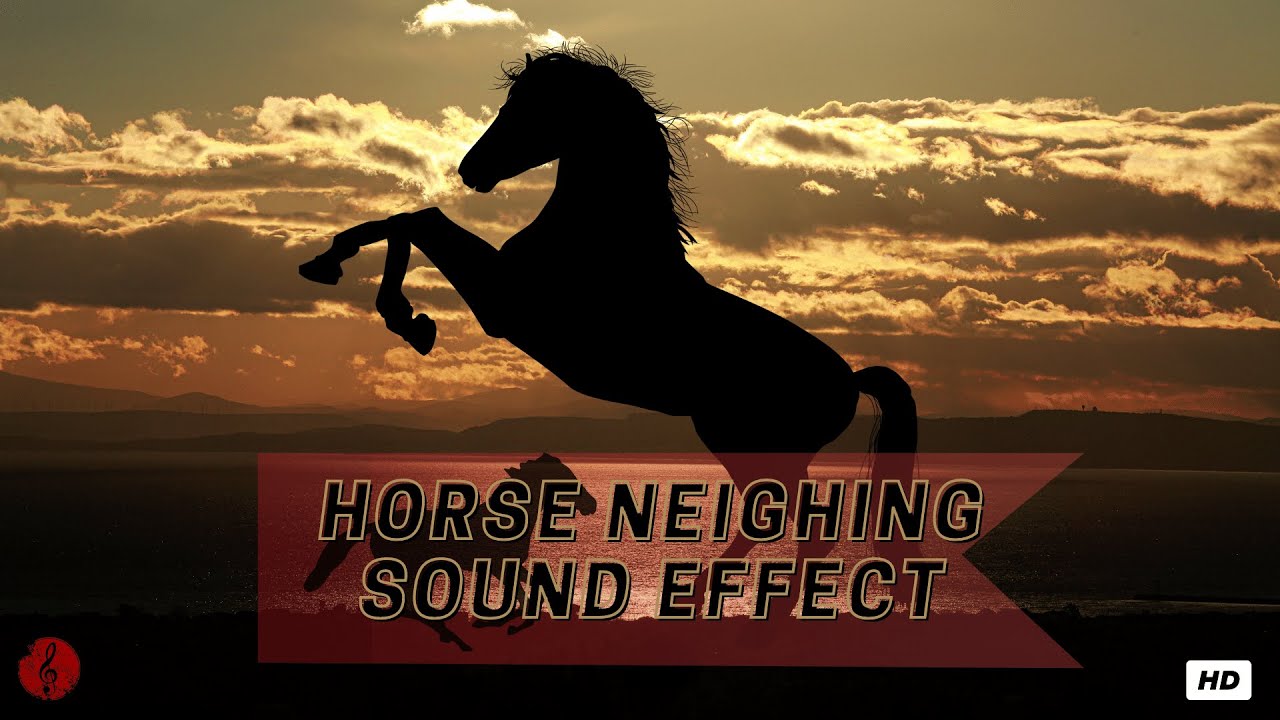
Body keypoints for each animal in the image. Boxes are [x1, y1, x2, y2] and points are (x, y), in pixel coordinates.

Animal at [299, 45, 917, 614]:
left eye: (532, 106)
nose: (471, 170)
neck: (602, 239)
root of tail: (850, 379)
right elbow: (406, 220)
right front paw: (338, 270)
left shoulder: (503, 303)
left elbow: (417, 221)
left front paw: (401, 315)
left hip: (754, 447)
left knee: (800, 529)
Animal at [303, 453, 599, 650]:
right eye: (563, 475)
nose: (591, 504)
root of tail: (374, 525)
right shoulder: (498, 566)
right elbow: (520, 601)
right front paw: (492, 623)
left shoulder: (510, 566)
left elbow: (525, 599)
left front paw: (501, 624)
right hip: (408, 567)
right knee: (406, 605)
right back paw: (456, 639)